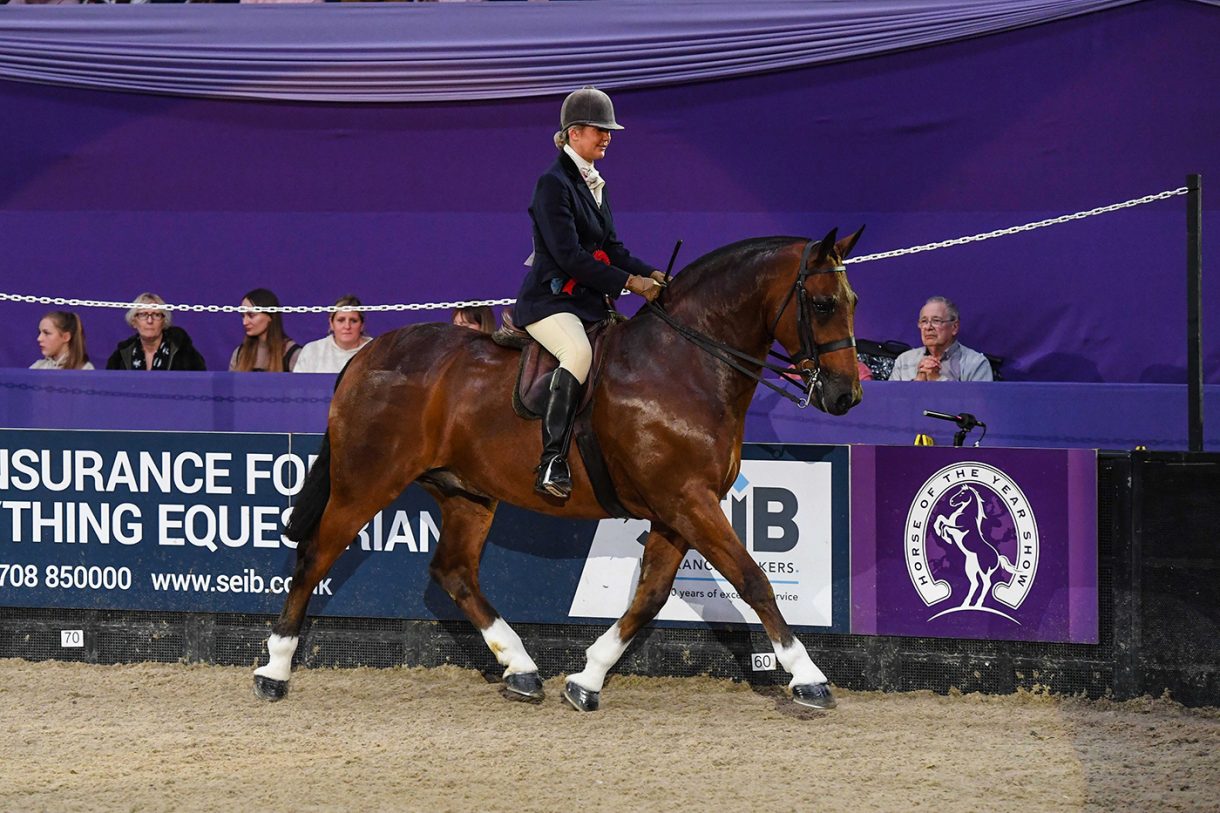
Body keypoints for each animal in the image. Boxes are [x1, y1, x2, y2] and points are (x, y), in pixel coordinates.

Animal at [253, 227, 864, 711]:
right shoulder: (687, 500)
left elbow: (649, 597)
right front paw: (809, 679)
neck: (683, 365)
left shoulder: (676, 509)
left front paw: (586, 678)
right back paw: (274, 670)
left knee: (454, 572)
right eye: (823, 303)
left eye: (852, 299)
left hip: (467, 493)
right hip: (366, 481)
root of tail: (366, 355)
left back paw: (522, 669)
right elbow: (753, 580)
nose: (846, 395)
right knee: (316, 555)